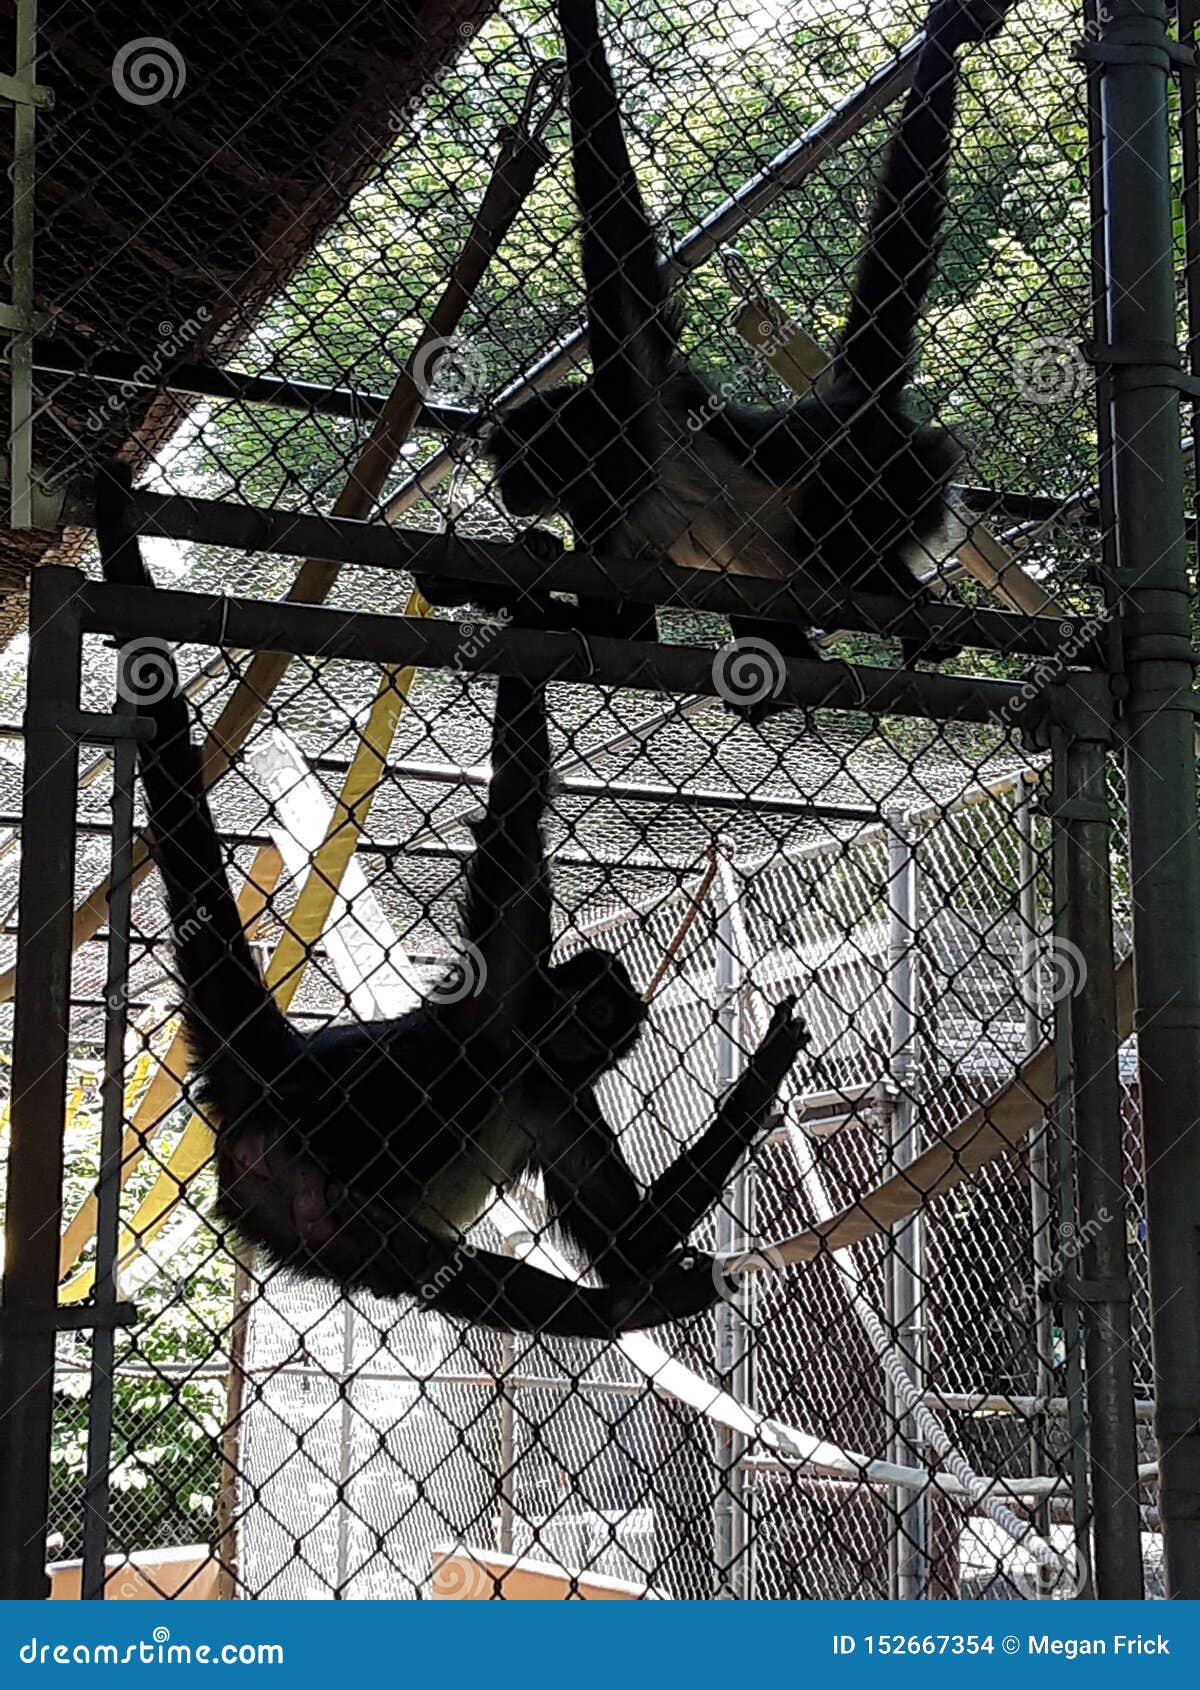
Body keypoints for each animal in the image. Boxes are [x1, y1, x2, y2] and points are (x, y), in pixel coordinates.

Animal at [96, 463, 806, 1336]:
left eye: (609, 1023)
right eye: (594, 1005)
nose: (585, 1031)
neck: (532, 1058)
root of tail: (279, 1065)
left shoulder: (562, 1100)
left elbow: (629, 1241)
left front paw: (765, 1077)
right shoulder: (507, 982)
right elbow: (515, 809)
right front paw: (528, 605)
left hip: (293, 1207)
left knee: (425, 1264)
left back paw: (626, 1307)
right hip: (306, 1134)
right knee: (451, 1085)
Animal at [421, 0, 1016, 669]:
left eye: (518, 463)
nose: (507, 491)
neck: (622, 468)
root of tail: (848, 403)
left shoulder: (642, 384)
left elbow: (614, 227)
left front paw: (578, 22)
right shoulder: (601, 514)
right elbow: (615, 635)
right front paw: (492, 574)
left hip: (899, 471)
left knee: (827, 540)